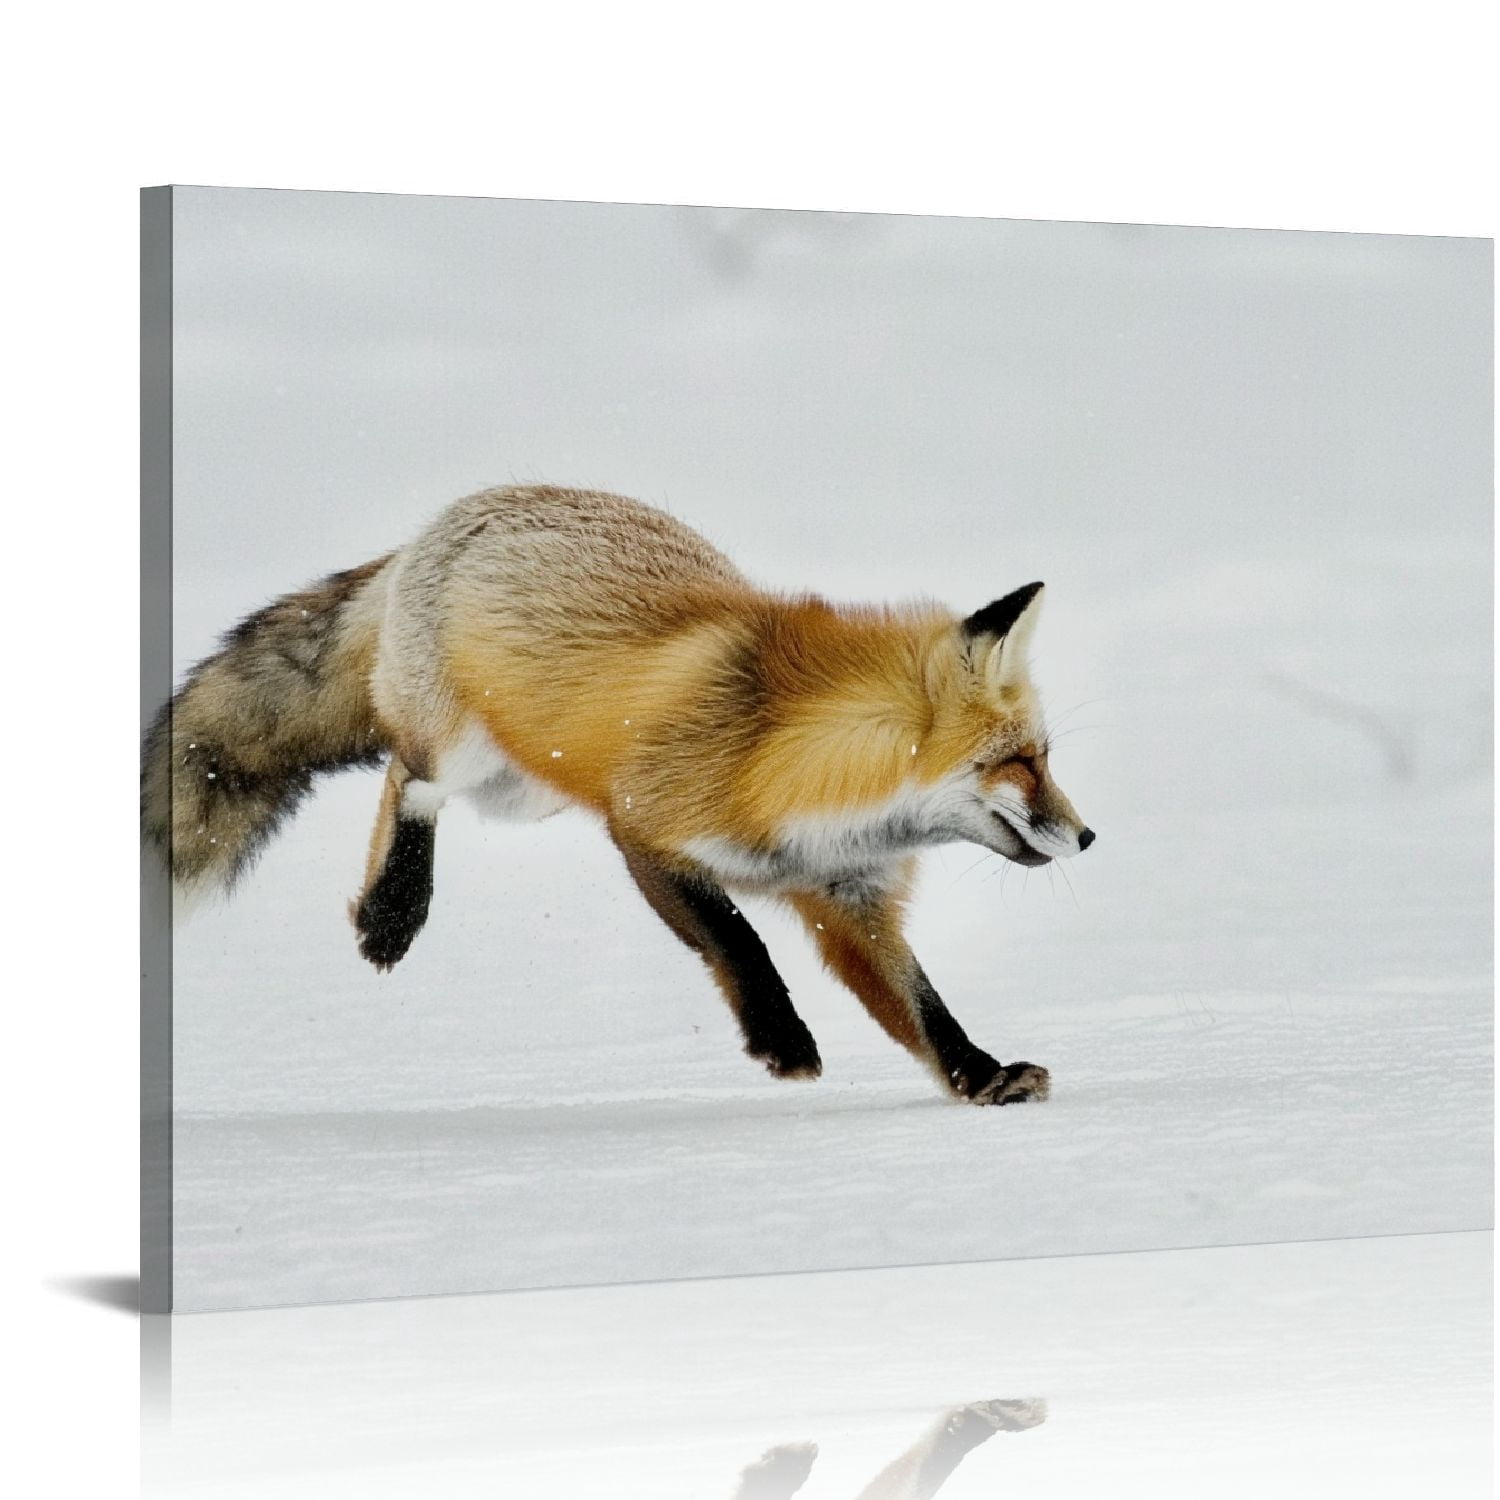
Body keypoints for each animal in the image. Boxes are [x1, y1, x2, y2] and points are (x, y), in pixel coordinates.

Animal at [142, 484, 1094, 1105]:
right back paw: (392, 912)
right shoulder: (645, 829)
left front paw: (981, 1077)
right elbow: (740, 938)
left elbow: (923, 1007)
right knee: (408, 775)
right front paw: (782, 1041)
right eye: (1022, 762)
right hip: (481, 759)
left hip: (526, 789)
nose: (1088, 839)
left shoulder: (847, 895)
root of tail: (457, 512)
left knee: (398, 773)